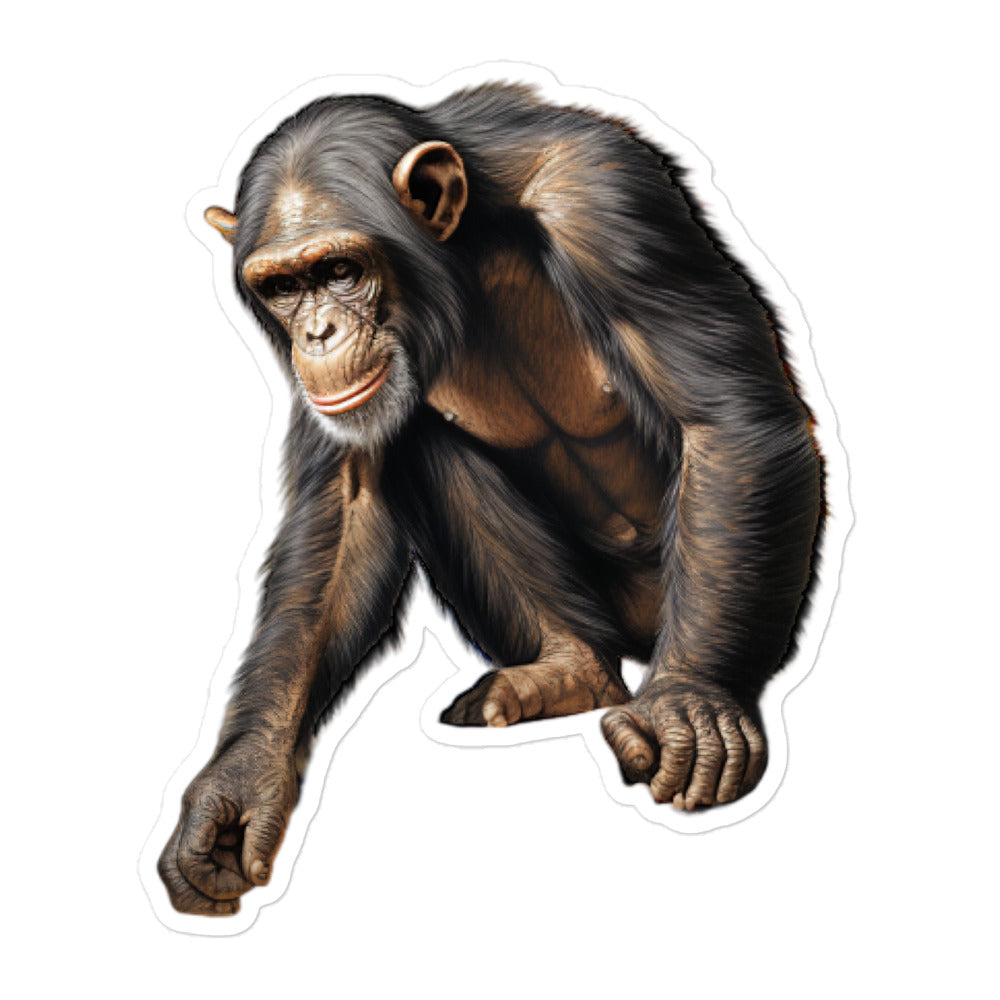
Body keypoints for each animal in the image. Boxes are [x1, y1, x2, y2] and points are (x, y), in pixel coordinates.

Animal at [158, 84, 823, 915]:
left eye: (340, 269)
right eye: (282, 287)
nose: (317, 333)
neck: (464, 248)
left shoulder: (609, 198)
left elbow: (721, 420)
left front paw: (691, 703)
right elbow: (345, 505)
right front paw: (238, 790)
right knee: (417, 439)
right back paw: (565, 669)